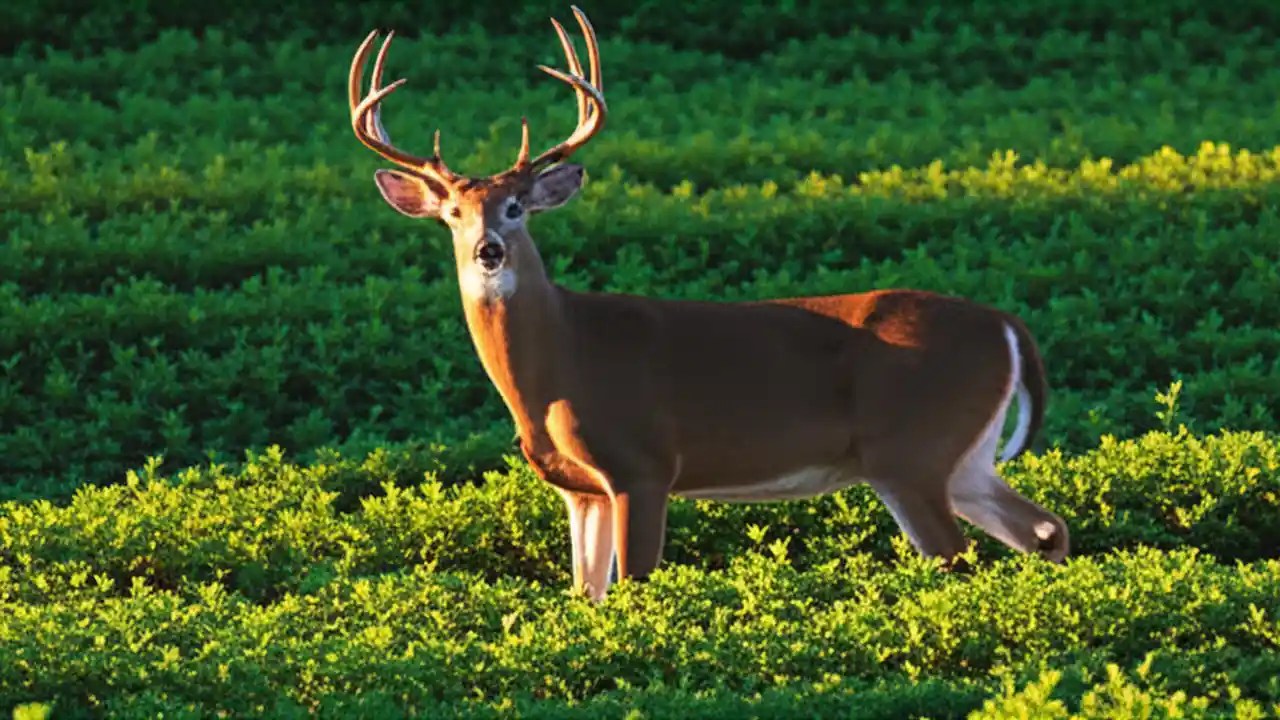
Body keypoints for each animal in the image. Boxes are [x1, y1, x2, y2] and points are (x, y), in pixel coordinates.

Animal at [347, 6, 1070, 603]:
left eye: (516, 206)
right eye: (452, 213)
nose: (488, 250)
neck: (561, 364)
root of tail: (1009, 326)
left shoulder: (640, 463)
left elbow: (634, 586)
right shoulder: (579, 489)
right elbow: (585, 597)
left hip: (910, 449)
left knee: (961, 556)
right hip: (963, 457)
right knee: (1044, 528)